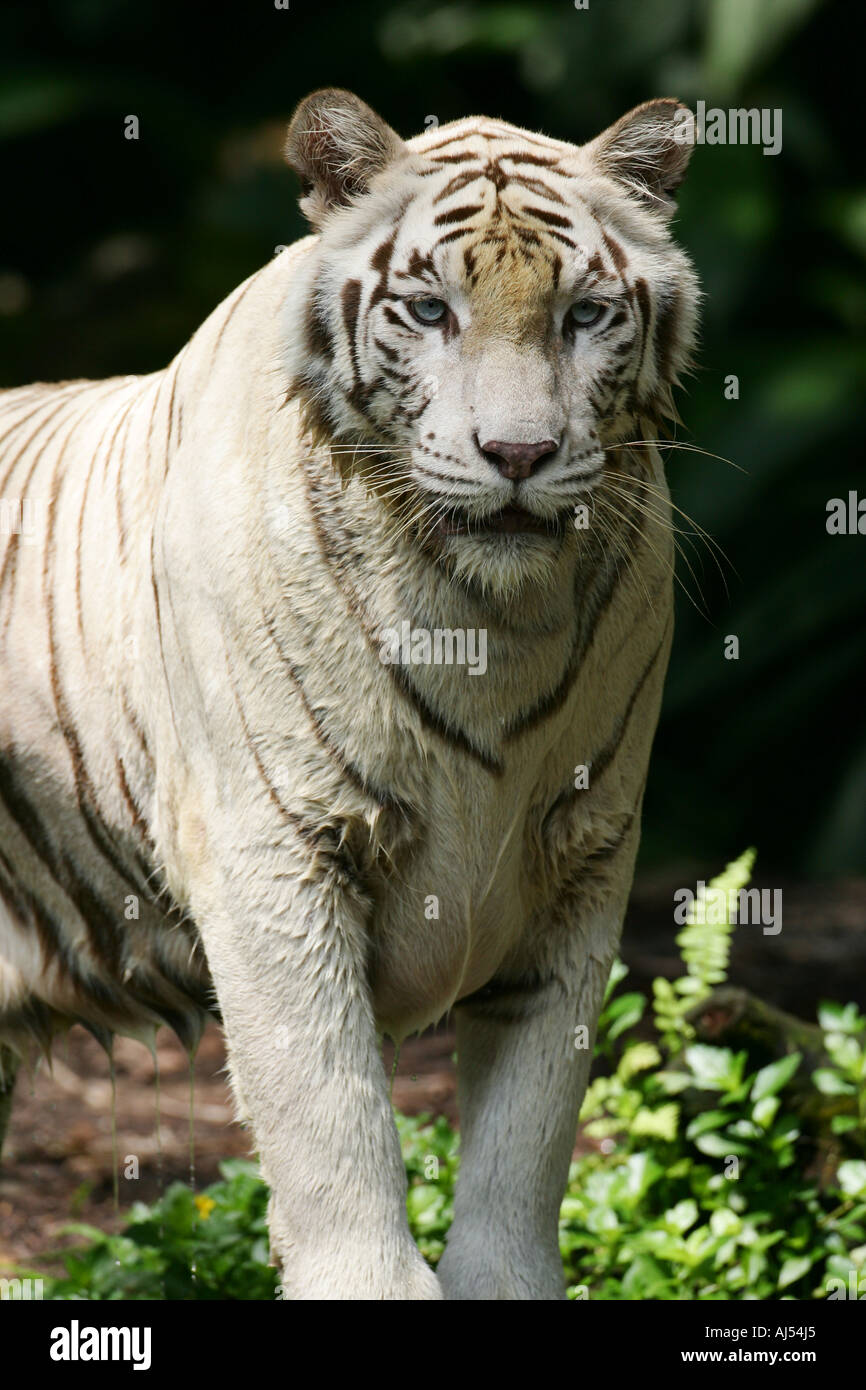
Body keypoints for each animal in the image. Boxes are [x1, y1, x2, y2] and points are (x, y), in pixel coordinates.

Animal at [0, 88, 699, 1299]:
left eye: (585, 315)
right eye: (427, 310)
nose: (518, 453)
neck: (487, 621)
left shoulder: (584, 858)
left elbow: (528, 1129)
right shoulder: (273, 852)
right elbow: (326, 1115)